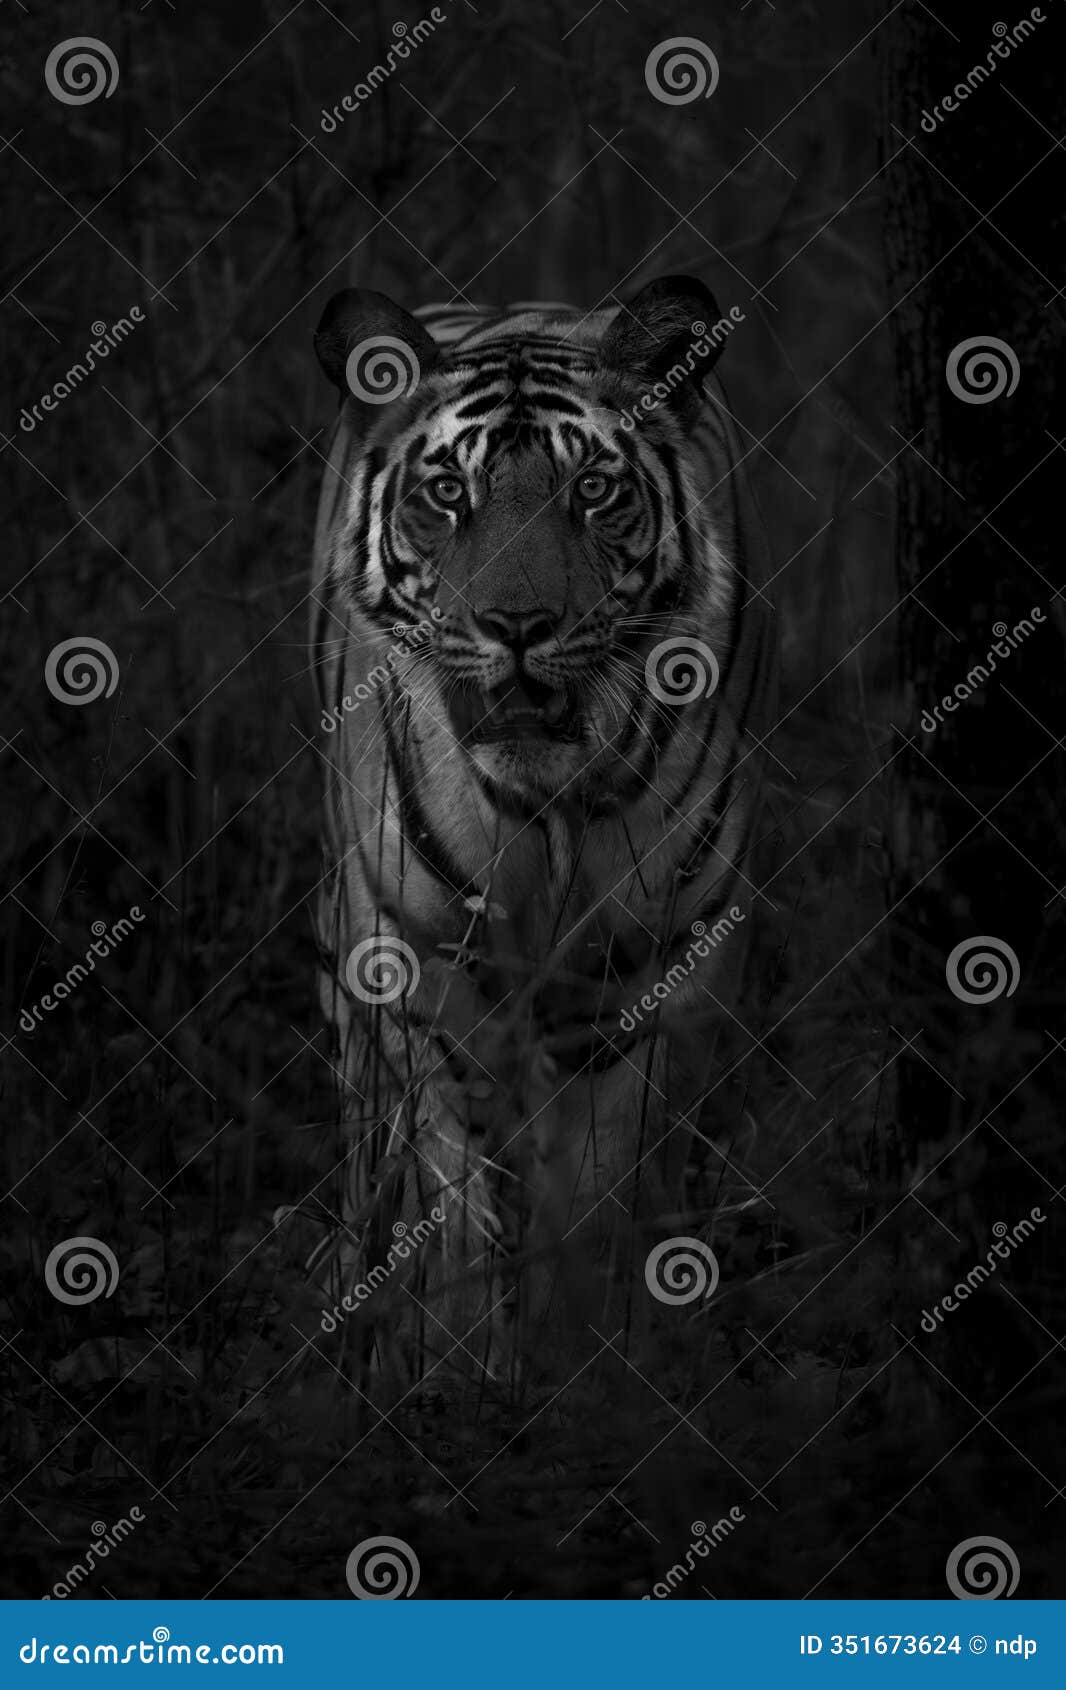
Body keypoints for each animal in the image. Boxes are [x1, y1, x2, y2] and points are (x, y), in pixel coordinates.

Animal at [308, 276, 775, 1385]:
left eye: (593, 490)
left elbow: (602, 1182)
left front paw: (591, 1362)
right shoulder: (419, 956)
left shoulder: (661, 961)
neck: (551, 809)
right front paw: (459, 1363)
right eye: (447, 493)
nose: (517, 625)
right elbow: (452, 1185)